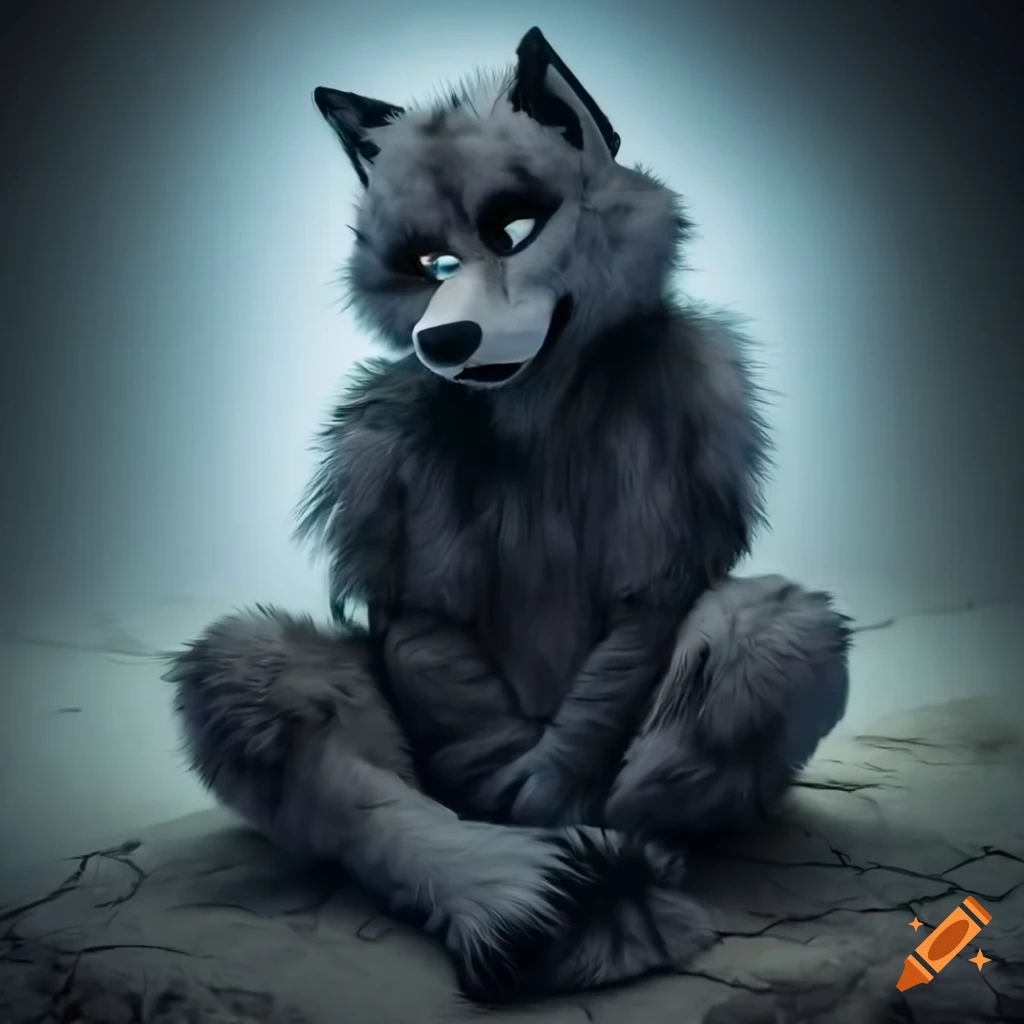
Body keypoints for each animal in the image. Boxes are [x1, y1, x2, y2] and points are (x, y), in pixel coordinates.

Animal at [165, 27, 851, 1003]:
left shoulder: (684, 425)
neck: (541, 406)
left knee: (752, 650)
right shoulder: (389, 465)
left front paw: (557, 789)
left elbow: (634, 630)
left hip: (768, 651)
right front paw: (519, 828)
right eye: (430, 265)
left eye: (512, 231)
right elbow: (431, 631)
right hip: (269, 677)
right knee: (305, 726)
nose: (443, 341)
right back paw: (530, 896)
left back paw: (610, 868)